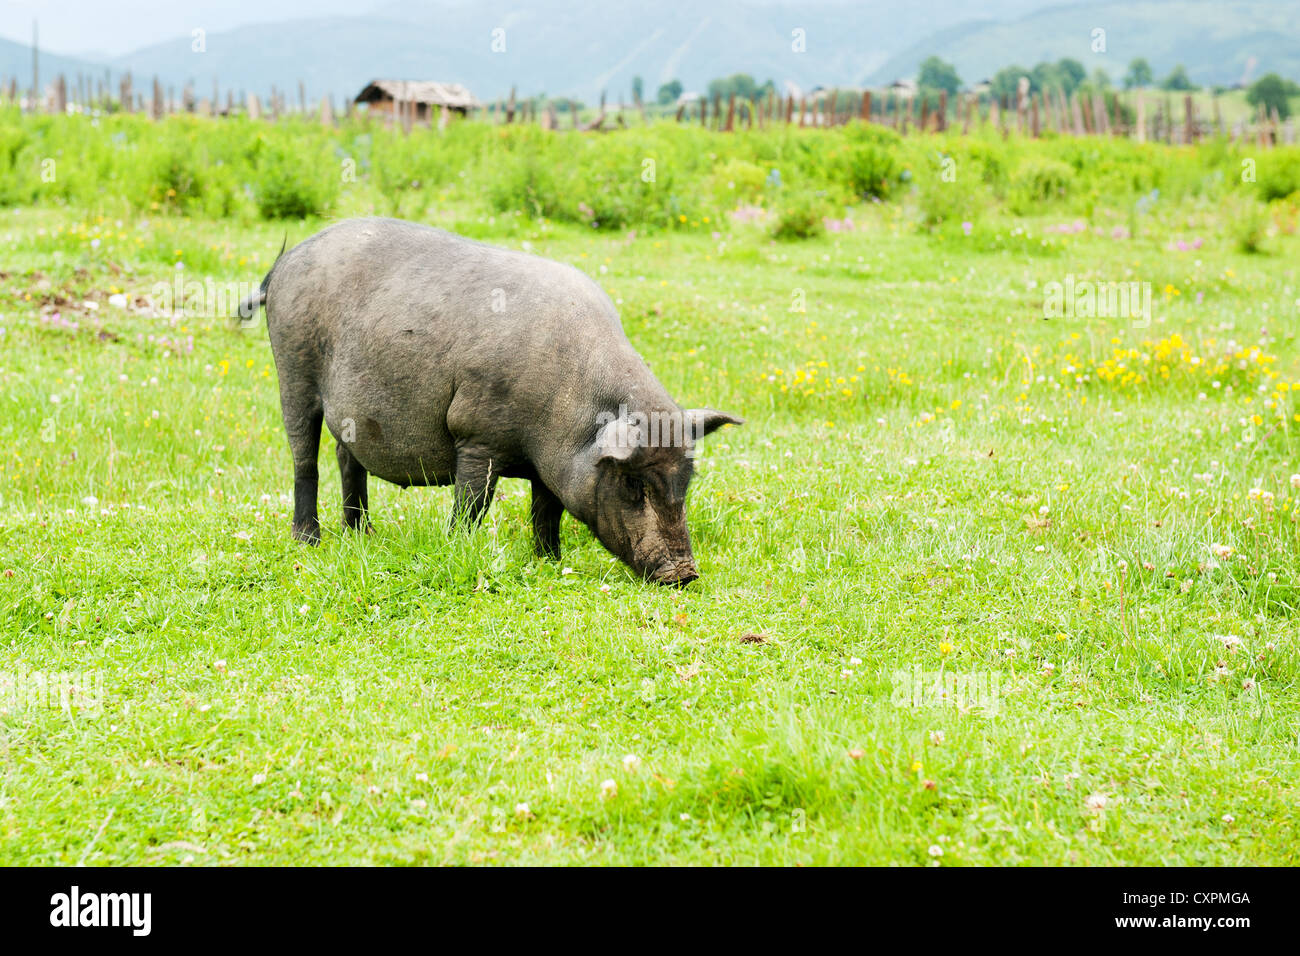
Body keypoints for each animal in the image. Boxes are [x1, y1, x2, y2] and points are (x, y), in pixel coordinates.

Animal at [238, 217, 742, 585]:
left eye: (685, 482)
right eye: (633, 484)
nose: (684, 573)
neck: (566, 410)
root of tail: (285, 263)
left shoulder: (547, 466)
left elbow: (546, 513)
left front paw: (548, 561)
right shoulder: (475, 434)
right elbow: (472, 504)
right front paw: (458, 546)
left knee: (348, 459)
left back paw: (363, 534)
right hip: (293, 369)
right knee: (304, 457)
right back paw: (309, 542)